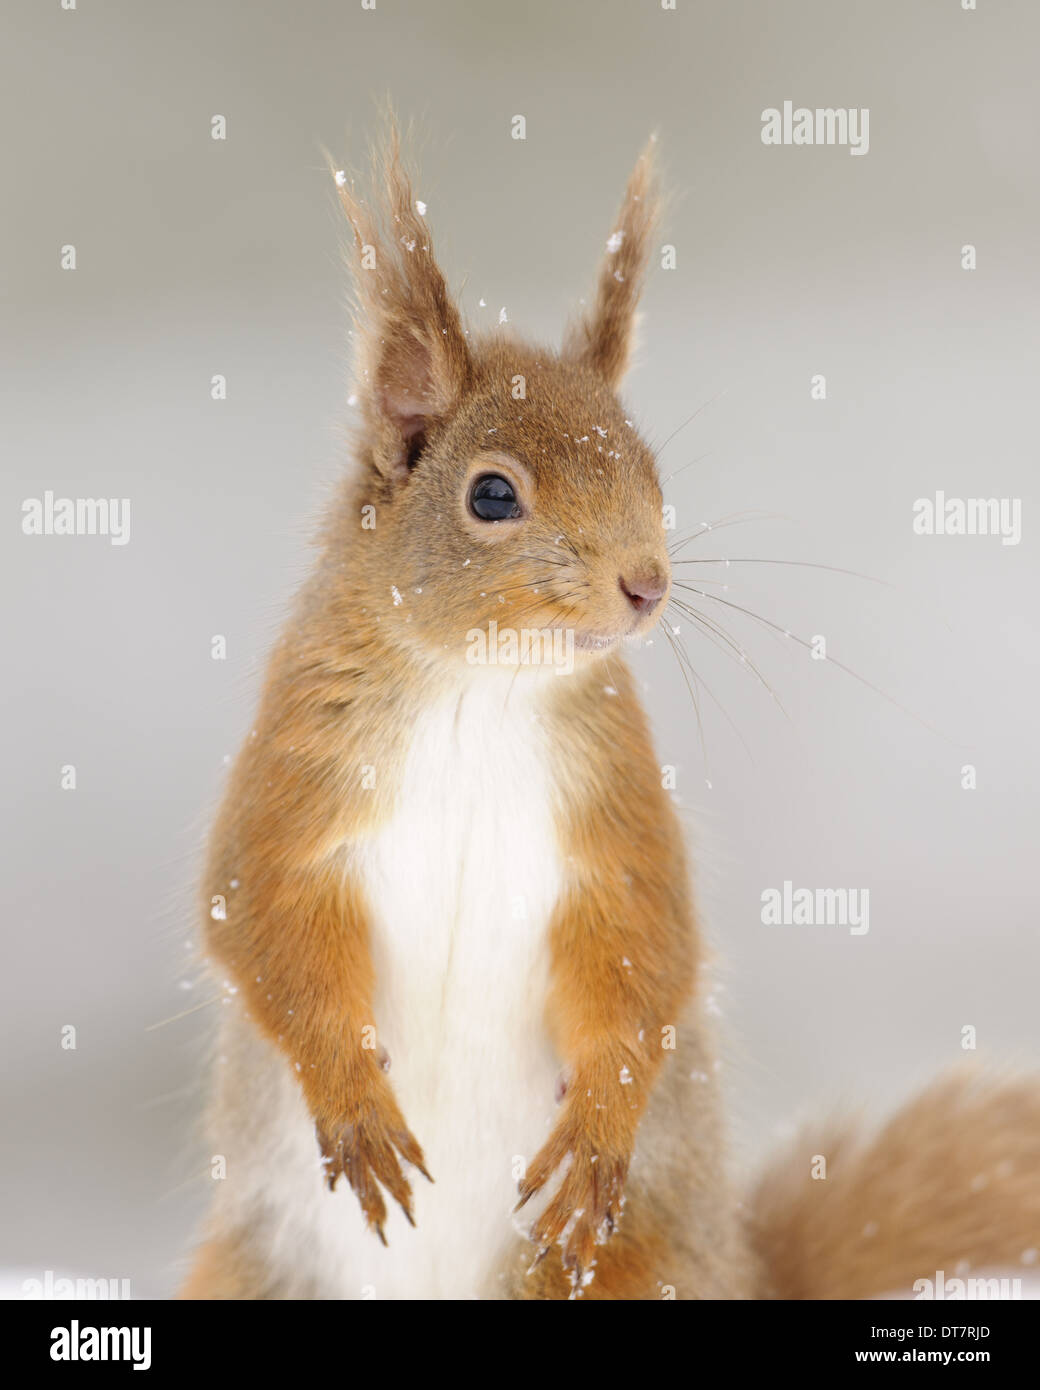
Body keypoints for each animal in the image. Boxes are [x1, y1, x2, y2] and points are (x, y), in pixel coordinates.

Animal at [181, 125, 1040, 1300]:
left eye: (649, 467)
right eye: (491, 494)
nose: (647, 583)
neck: (481, 689)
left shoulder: (610, 795)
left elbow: (641, 943)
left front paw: (597, 1127)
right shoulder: (302, 761)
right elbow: (259, 911)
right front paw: (353, 1100)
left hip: (622, 1266)